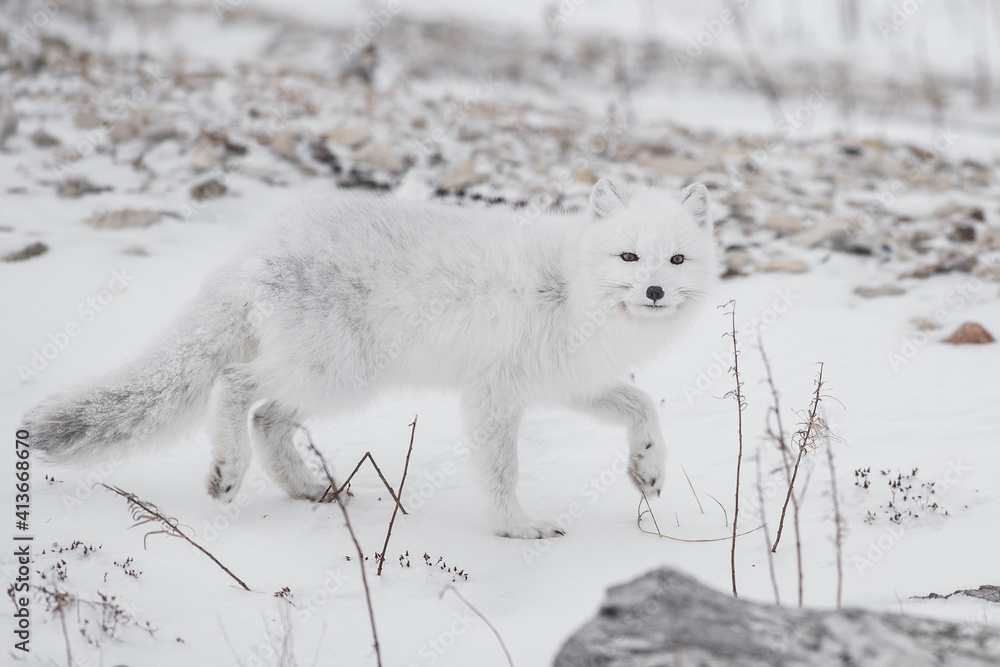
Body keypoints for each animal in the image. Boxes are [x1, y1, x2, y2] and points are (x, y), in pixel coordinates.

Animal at [24, 178, 717, 539]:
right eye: (629, 257)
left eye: (676, 260)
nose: (656, 291)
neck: (572, 291)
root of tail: (259, 246)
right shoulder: (493, 394)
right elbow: (503, 472)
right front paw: (516, 528)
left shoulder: (570, 382)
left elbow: (642, 404)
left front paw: (649, 470)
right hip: (337, 374)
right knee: (236, 386)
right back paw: (227, 472)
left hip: (332, 379)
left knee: (267, 417)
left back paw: (305, 489)